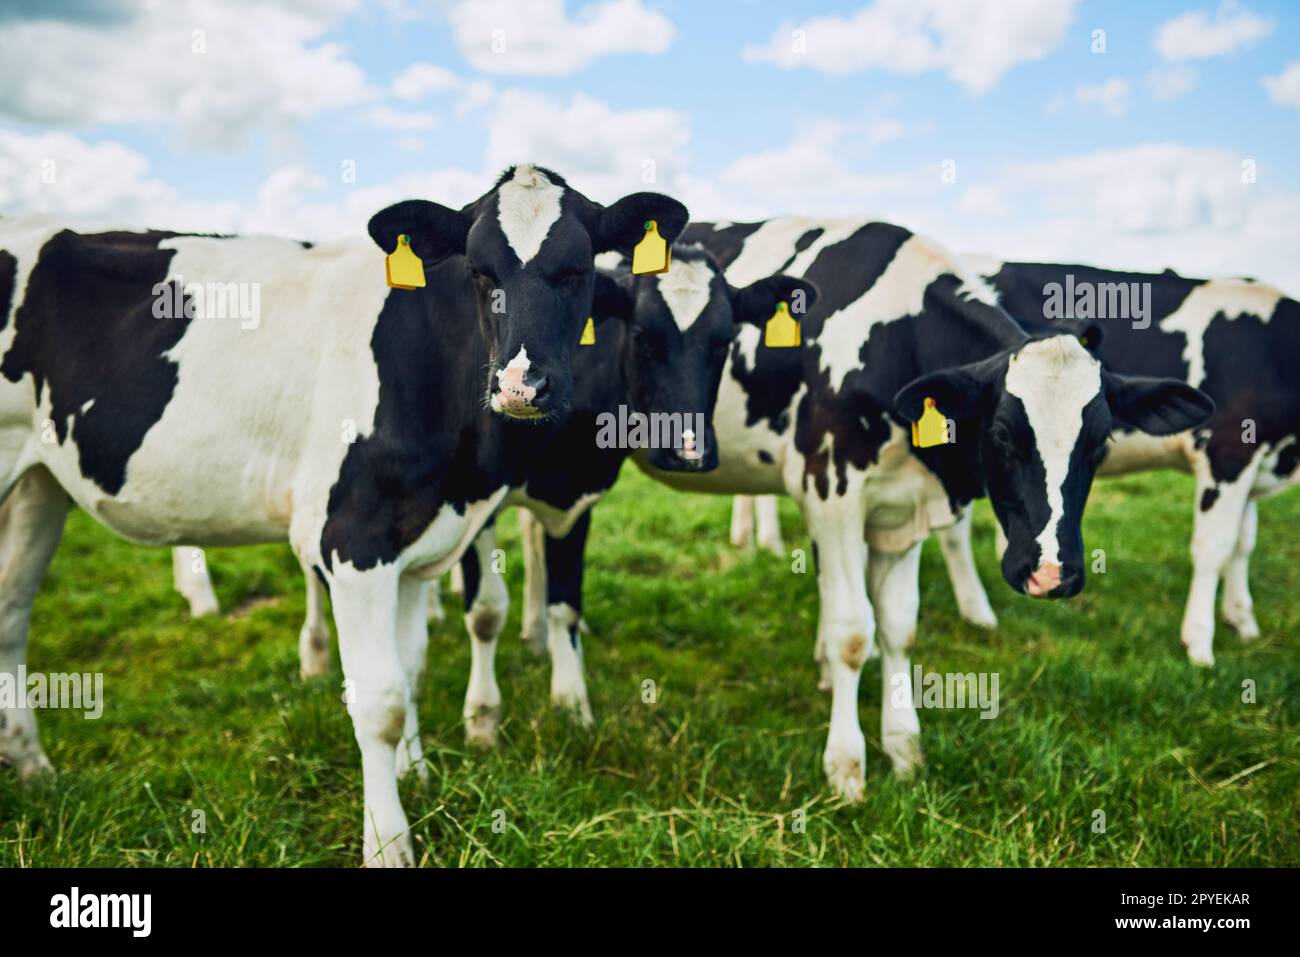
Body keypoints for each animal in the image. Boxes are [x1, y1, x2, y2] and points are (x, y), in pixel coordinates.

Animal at [0, 164, 689, 866]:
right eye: (478, 269)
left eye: (577, 266)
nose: (522, 386)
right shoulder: (356, 540)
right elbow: (380, 702)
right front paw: (388, 839)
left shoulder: (417, 539)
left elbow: (409, 669)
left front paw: (417, 773)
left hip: (38, 485)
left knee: (11, 611)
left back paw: (32, 767)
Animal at [511, 217, 1215, 799]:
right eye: (1003, 434)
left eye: (1100, 443)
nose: (1052, 573)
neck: (895, 338)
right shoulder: (832, 489)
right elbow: (853, 632)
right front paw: (847, 764)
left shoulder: (906, 508)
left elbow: (898, 627)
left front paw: (904, 746)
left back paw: (534, 632)